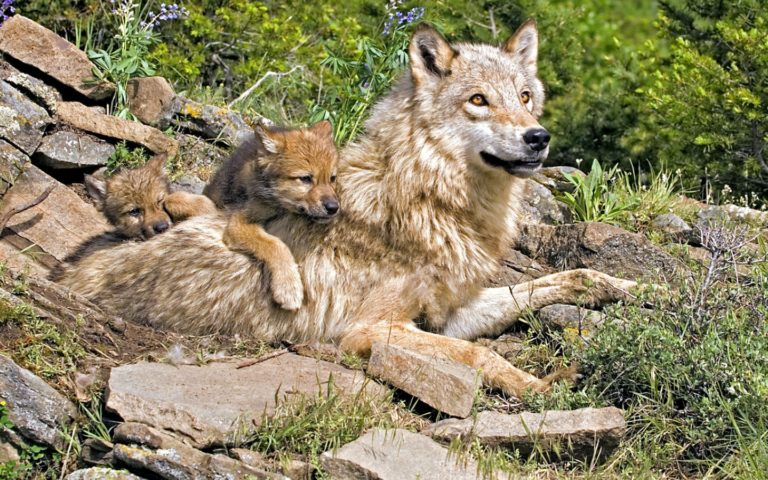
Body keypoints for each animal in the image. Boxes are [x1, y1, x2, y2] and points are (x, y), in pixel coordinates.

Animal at [204, 120, 339, 311]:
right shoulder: (238, 223)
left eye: (332, 178)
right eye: (305, 178)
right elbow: (275, 244)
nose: (333, 208)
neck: (277, 202)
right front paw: (288, 287)